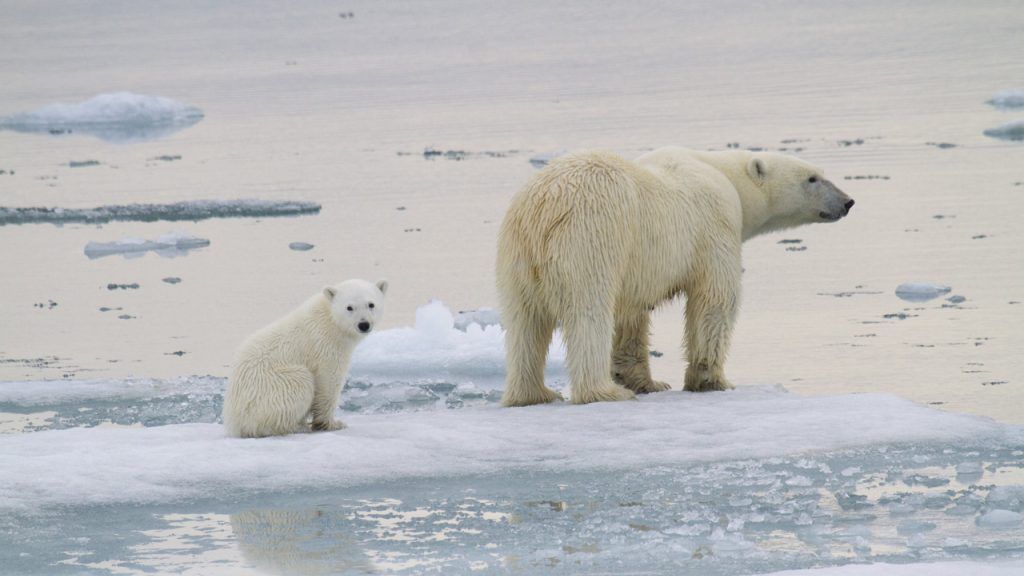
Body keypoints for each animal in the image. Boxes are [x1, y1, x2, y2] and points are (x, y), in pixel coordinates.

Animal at [222, 278, 388, 437]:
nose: (363, 324)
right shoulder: (325, 346)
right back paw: (298, 426)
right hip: (270, 388)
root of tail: (234, 424)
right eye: (349, 307)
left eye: (371, 304)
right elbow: (329, 382)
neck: (331, 320)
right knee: (300, 382)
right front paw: (333, 424)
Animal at [496, 147, 853, 406]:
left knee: (524, 322)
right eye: (812, 178)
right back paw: (603, 392)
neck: (725, 176)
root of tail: (543, 208)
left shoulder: (637, 267)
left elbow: (631, 315)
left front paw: (646, 381)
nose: (848, 201)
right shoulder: (714, 227)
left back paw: (533, 394)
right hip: (591, 236)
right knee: (588, 312)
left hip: (516, 255)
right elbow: (714, 299)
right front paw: (712, 381)